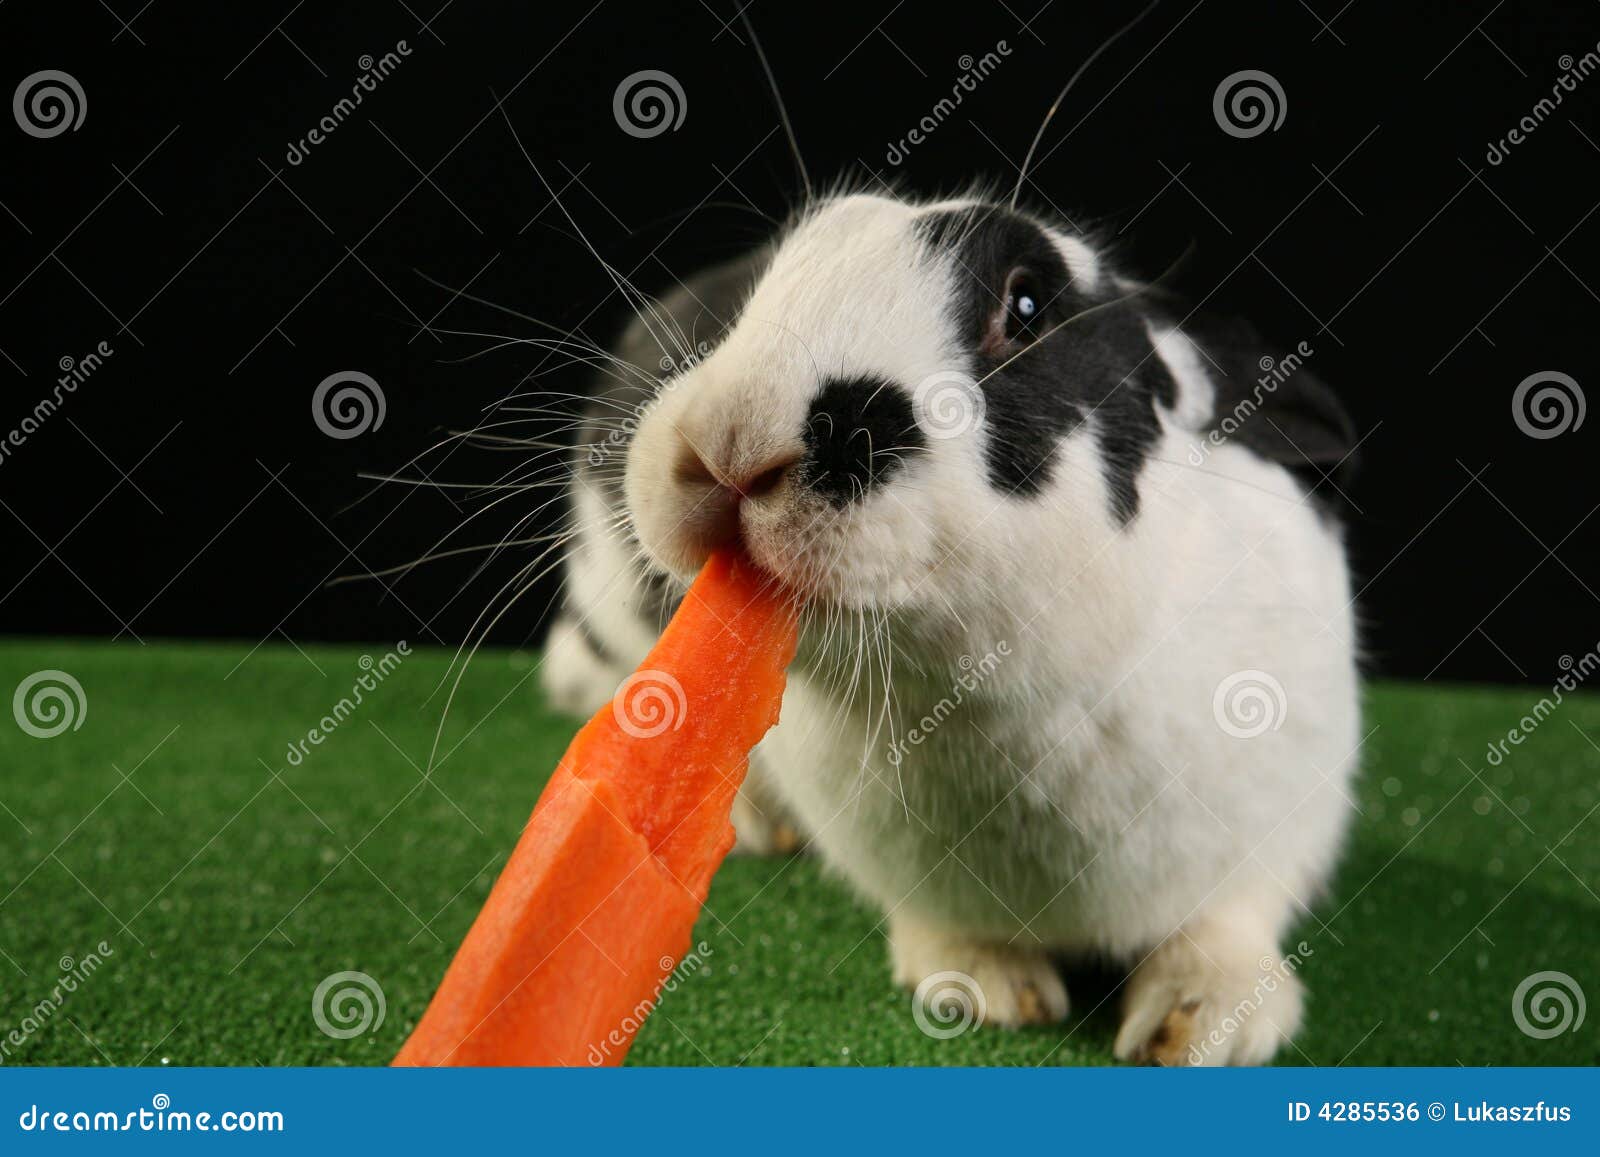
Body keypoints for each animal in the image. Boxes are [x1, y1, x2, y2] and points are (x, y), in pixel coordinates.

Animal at [540, 187, 1361, 1066]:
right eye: (783, 270)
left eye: (1027, 306)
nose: (732, 433)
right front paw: (992, 989)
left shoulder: (1278, 818)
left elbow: (1225, 923)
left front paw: (1204, 1022)